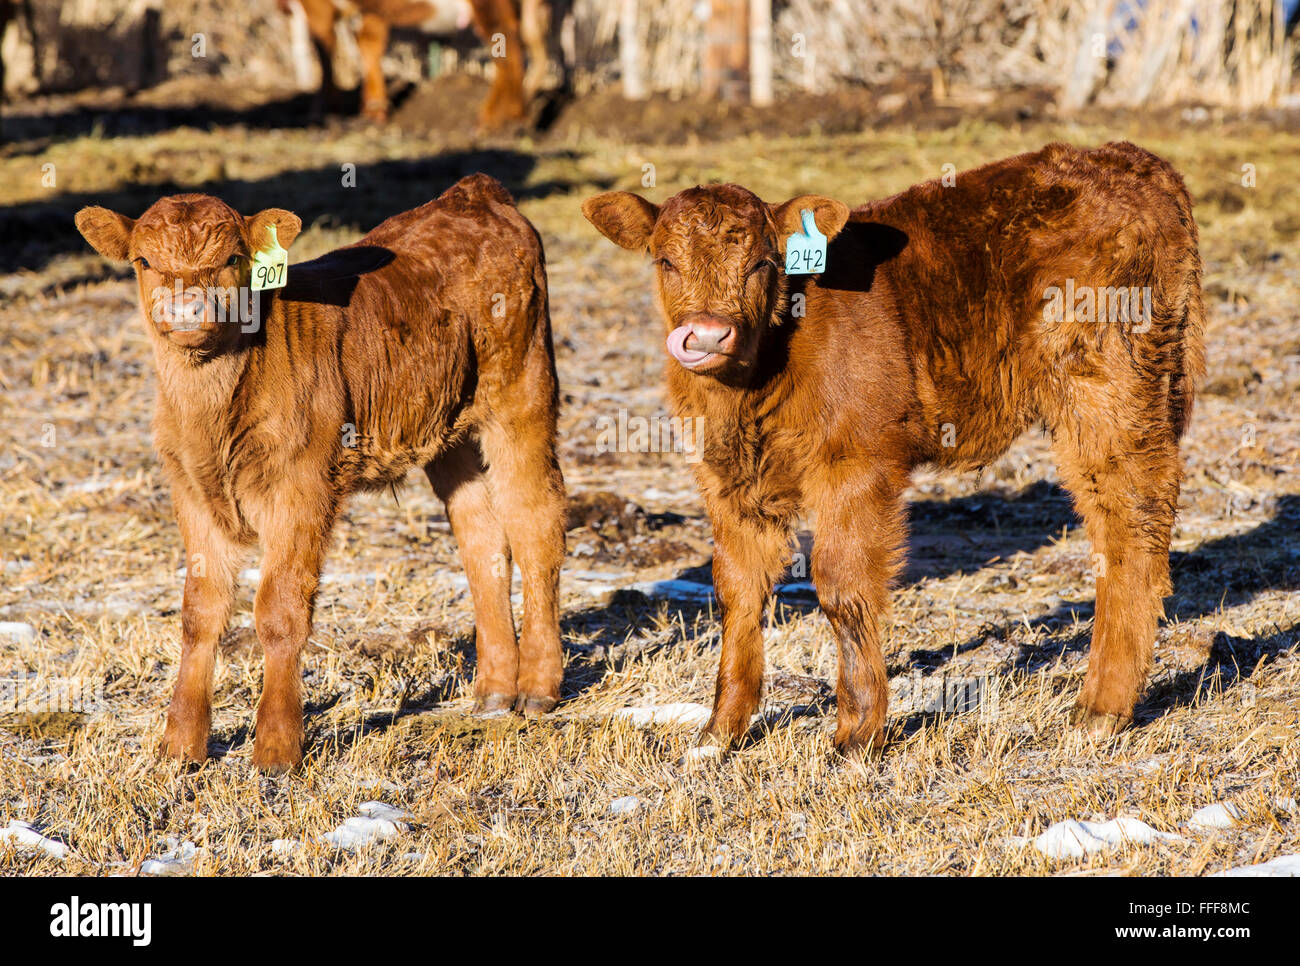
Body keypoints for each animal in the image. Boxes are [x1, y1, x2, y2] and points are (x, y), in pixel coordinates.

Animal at [74, 174, 567, 772]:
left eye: (234, 257)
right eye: (143, 260)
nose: (187, 308)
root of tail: (474, 194)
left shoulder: (302, 489)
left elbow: (279, 610)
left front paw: (277, 747)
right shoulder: (192, 492)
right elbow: (200, 612)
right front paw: (181, 746)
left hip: (523, 392)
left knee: (534, 523)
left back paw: (537, 687)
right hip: (449, 429)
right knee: (483, 538)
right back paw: (494, 690)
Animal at [583, 141, 1205, 760]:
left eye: (762, 263)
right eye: (665, 261)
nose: (708, 335)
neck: (753, 386)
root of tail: (1133, 160)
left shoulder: (856, 462)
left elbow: (841, 586)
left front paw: (858, 732)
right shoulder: (727, 477)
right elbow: (737, 590)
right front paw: (720, 731)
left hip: (1106, 389)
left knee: (1129, 527)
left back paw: (1099, 711)